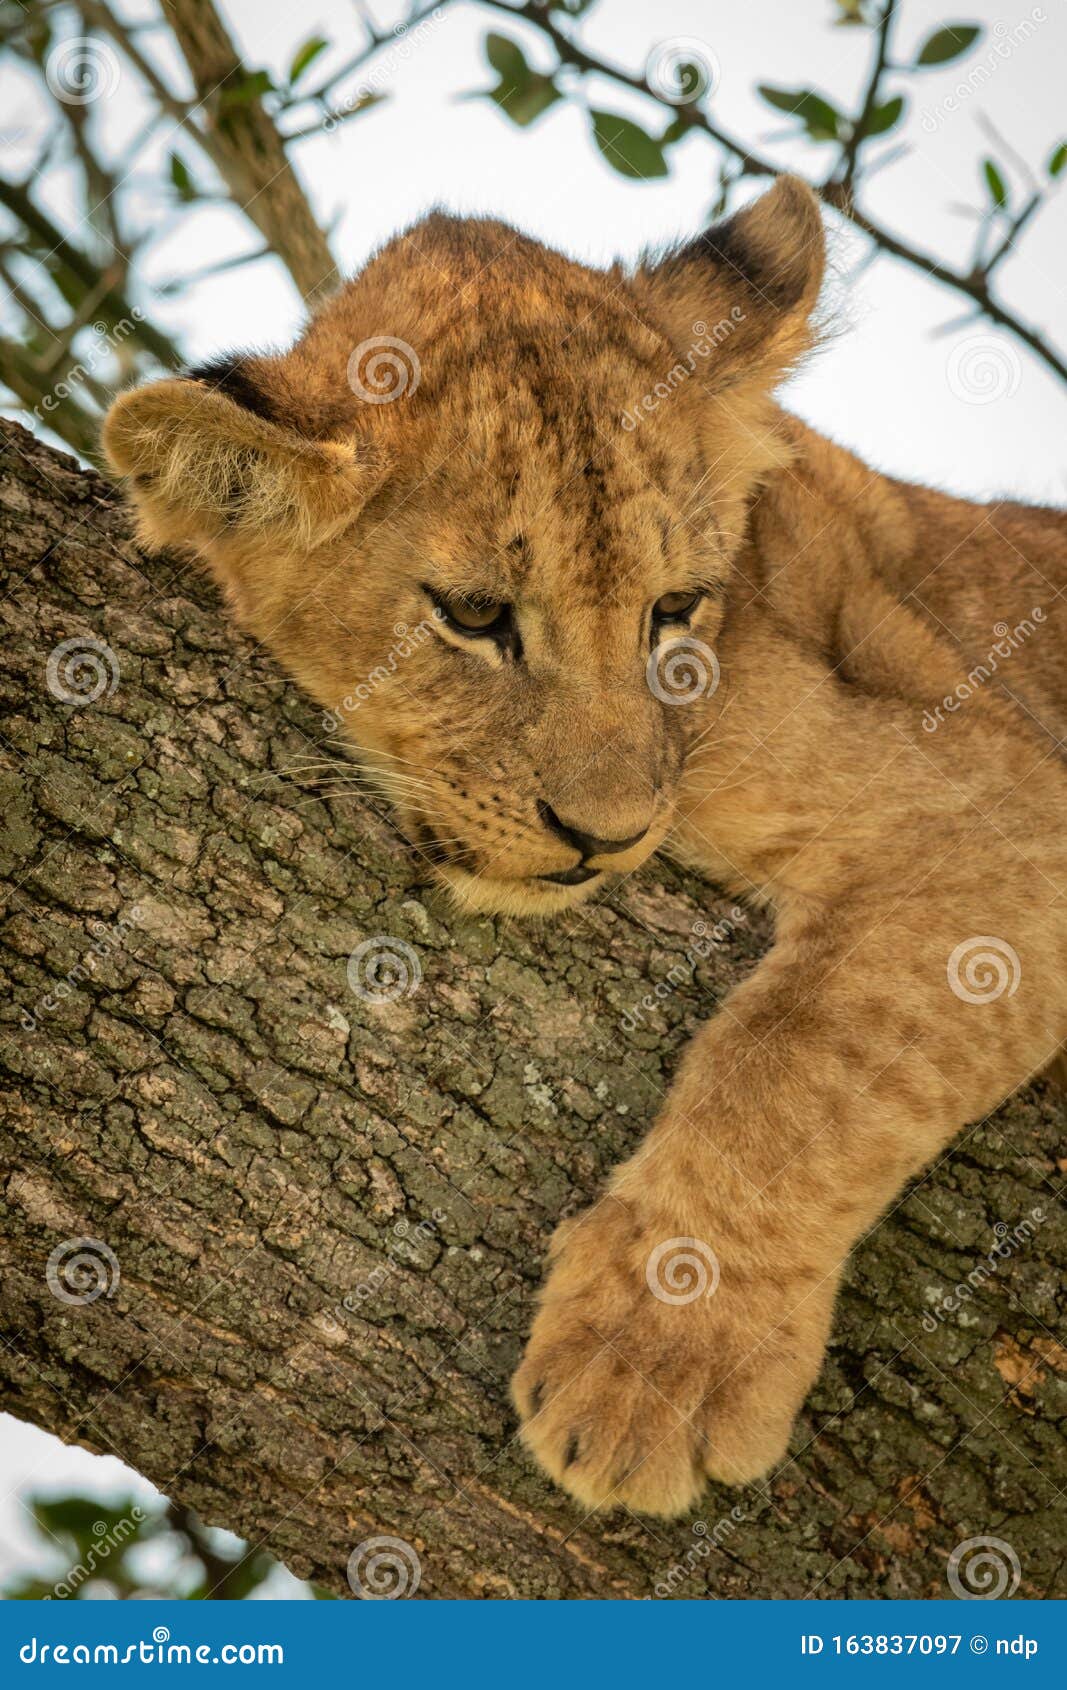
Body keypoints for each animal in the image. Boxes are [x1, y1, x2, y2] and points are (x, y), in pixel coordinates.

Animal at [103, 177, 1067, 1518]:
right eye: (471, 616)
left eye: (674, 609)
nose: (603, 838)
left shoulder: (997, 801)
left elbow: (806, 1064)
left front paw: (655, 1366)